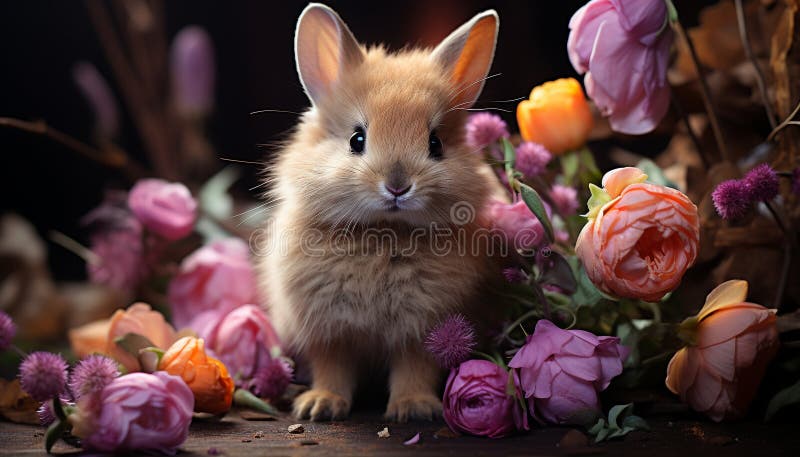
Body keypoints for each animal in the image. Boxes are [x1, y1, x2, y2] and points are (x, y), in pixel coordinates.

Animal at [258, 3, 504, 422]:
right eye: (357, 139)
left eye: (435, 144)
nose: (398, 185)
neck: (383, 230)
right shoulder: (328, 331)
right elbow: (333, 368)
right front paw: (321, 405)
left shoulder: (423, 330)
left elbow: (414, 368)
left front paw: (414, 408)